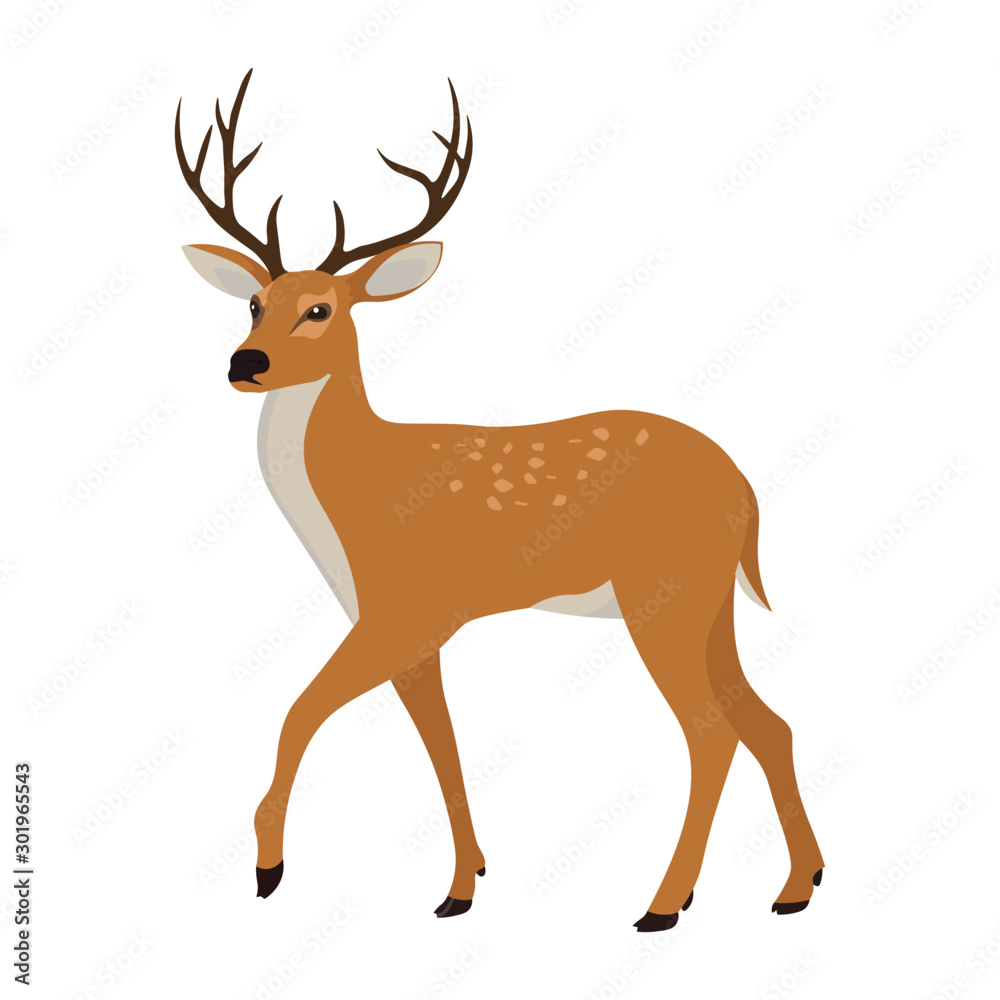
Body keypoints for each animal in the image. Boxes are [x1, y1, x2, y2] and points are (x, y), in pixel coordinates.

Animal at [175, 70, 824, 931]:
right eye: (254, 304)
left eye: (321, 309)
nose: (244, 363)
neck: (351, 498)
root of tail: (749, 492)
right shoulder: (410, 630)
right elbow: (442, 747)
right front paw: (464, 884)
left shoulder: (405, 610)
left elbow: (299, 712)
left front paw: (269, 868)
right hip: (706, 600)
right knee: (767, 721)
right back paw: (795, 888)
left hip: (664, 592)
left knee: (710, 732)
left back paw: (662, 905)